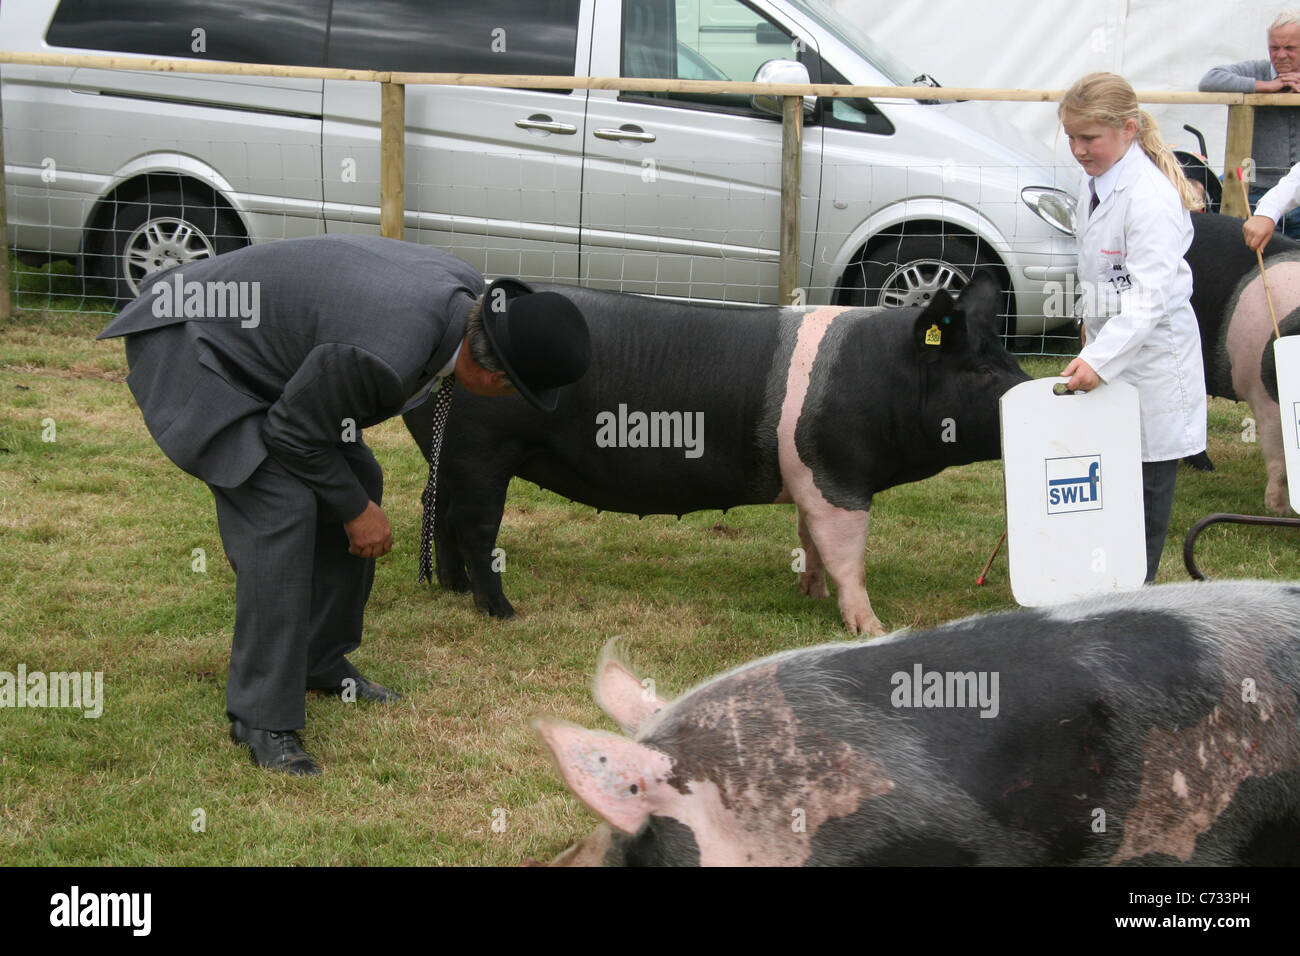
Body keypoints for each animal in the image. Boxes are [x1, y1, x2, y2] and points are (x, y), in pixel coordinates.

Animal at [404, 272, 1028, 635]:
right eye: (980, 371)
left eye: (1008, 359)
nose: (1035, 387)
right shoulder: (836, 472)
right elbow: (847, 552)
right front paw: (872, 629)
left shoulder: (810, 476)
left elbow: (809, 538)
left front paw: (810, 592)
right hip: (484, 448)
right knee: (475, 525)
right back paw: (505, 614)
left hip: (452, 453)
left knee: (440, 510)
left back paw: (453, 590)